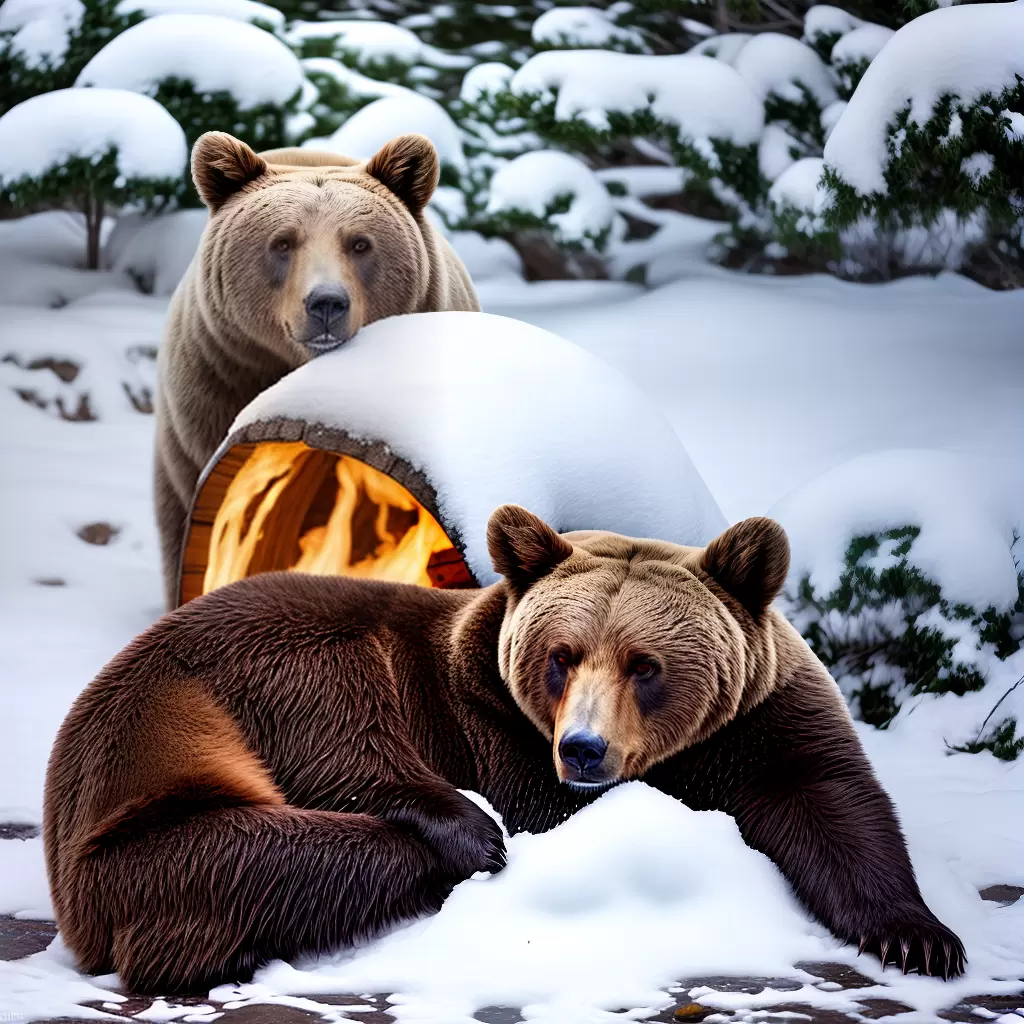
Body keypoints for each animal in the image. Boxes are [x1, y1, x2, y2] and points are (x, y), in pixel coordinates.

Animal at [43, 507, 965, 994]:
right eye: (563, 655)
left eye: (645, 664)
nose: (586, 749)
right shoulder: (491, 729)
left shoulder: (765, 721)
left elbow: (833, 802)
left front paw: (920, 938)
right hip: (200, 724)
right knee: (323, 775)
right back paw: (460, 839)